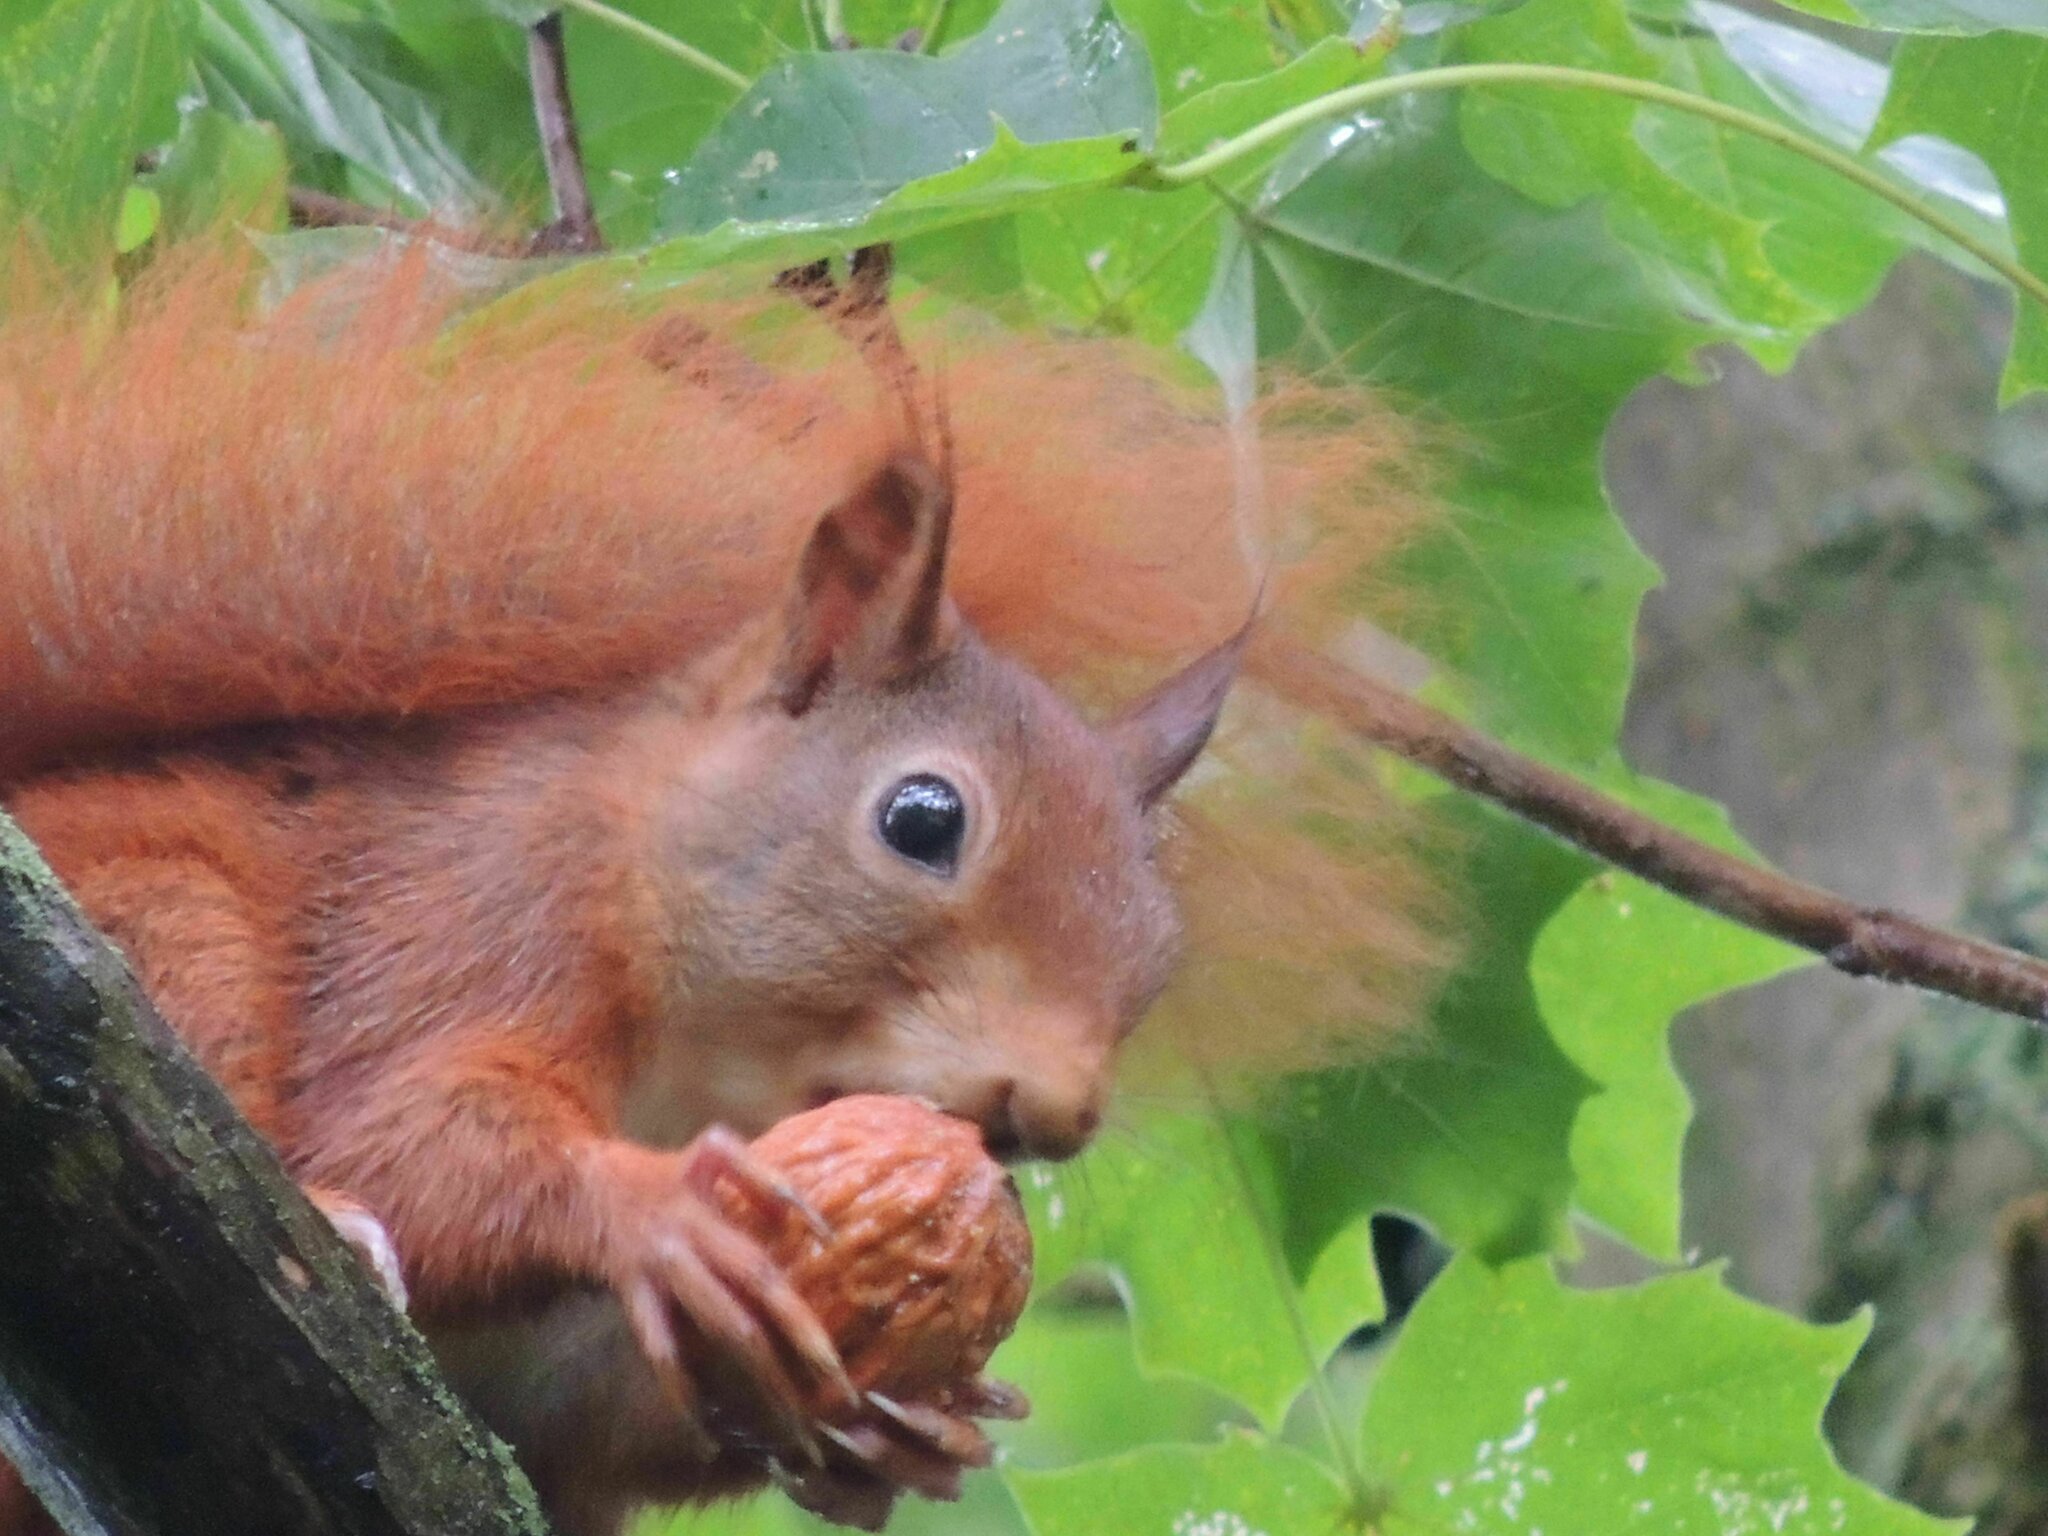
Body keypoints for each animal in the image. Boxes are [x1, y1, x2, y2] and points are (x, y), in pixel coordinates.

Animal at [0, 240, 1437, 1535]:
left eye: (1158, 947)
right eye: (923, 819)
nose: (1059, 1112)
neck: (706, 1066)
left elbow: (613, 1405)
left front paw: (894, 1429)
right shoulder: (475, 914)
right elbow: (407, 1133)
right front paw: (650, 1207)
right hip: (164, 915)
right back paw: (341, 1227)